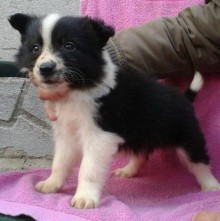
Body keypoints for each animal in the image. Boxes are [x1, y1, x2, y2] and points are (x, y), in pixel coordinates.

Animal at [9, 13, 220, 209]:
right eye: (35, 48)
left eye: (69, 46)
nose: (45, 68)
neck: (78, 90)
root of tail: (185, 97)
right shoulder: (66, 133)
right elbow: (60, 162)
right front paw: (51, 184)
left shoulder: (100, 136)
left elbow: (88, 169)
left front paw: (85, 197)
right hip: (140, 133)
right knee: (141, 153)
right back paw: (128, 170)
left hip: (188, 136)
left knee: (198, 161)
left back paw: (210, 186)